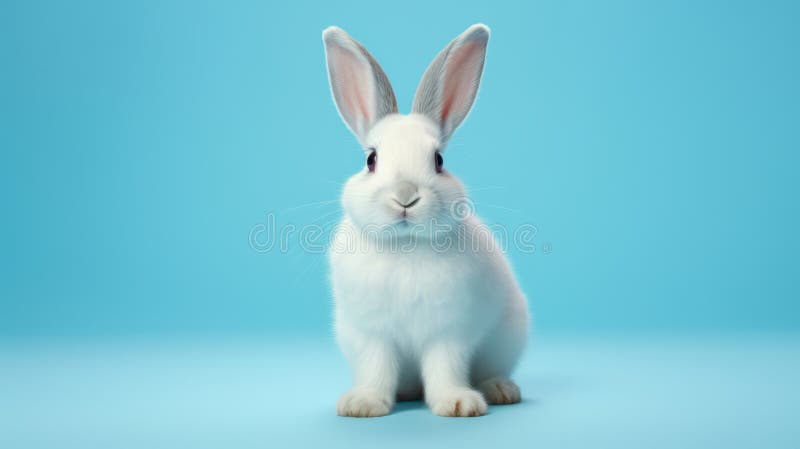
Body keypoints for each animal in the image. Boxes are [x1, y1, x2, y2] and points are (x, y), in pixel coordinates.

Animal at [323, 24, 530, 417]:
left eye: (438, 160)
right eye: (371, 160)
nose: (405, 196)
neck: (405, 246)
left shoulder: (448, 333)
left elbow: (444, 367)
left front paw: (458, 403)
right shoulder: (373, 334)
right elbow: (376, 367)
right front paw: (363, 404)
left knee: (492, 370)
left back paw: (500, 390)